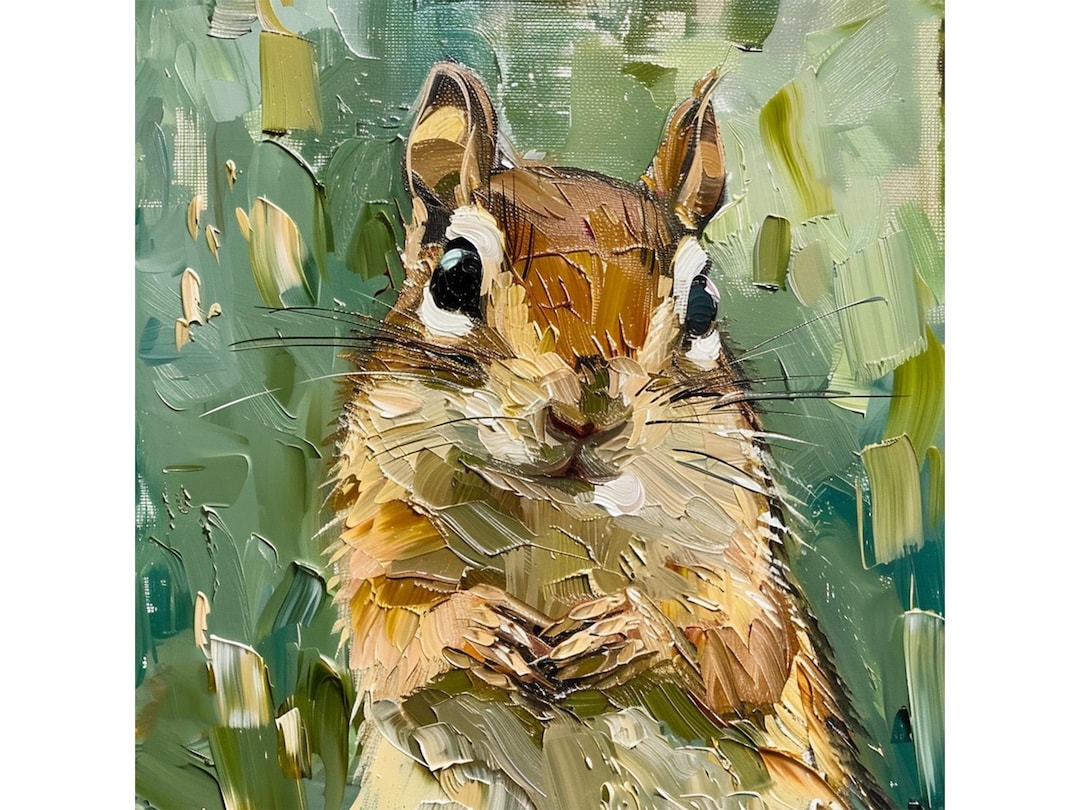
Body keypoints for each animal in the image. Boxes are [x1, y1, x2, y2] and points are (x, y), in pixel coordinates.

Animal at [328, 62, 894, 810]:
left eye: (704, 303)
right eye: (453, 275)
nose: (587, 414)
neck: (554, 516)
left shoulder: (742, 557)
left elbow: (750, 648)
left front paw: (632, 631)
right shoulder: (378, 528)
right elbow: (385, 634)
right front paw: (471, 625)